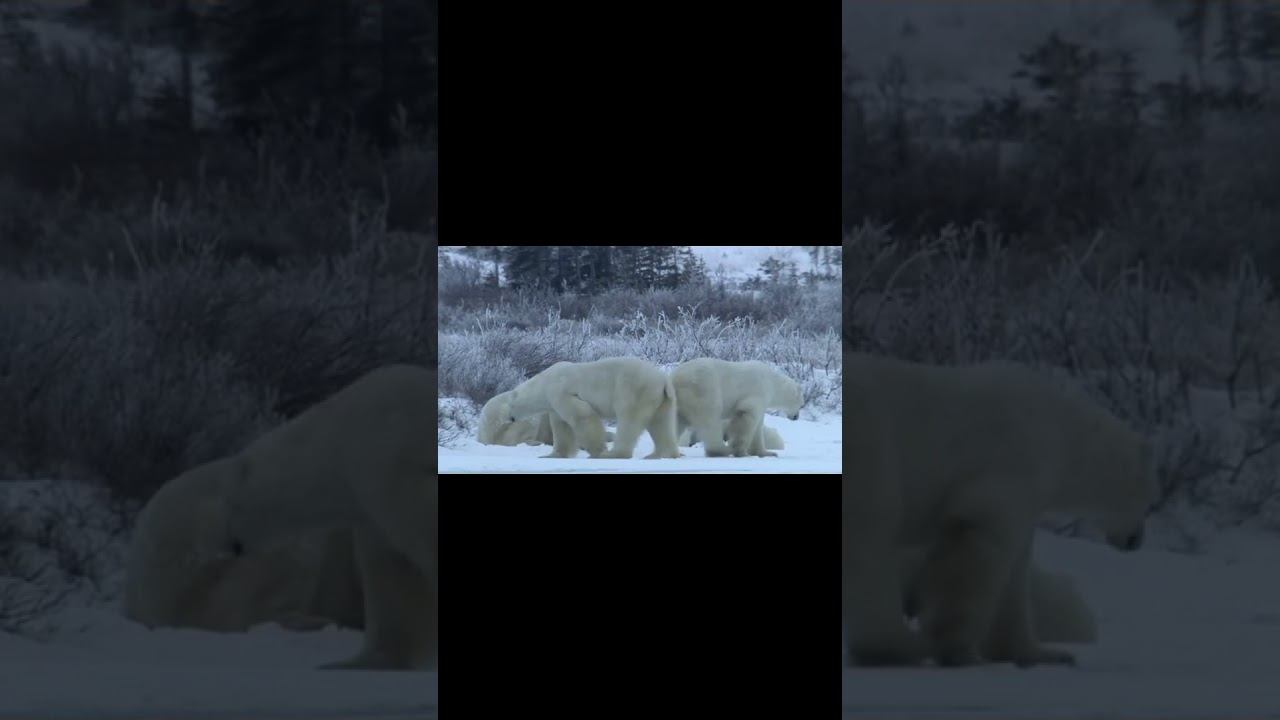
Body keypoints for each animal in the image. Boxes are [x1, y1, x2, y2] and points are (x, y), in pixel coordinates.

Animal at [506, 357, 680, 459]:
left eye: (508, 407)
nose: (509, 419)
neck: (544, 382)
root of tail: (662, 379)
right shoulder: (554, 404)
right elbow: (561, 426)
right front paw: (553, 455)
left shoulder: (560, 392)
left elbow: (582, 415)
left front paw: (597, 451)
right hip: (662, 398)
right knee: (661, 422)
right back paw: (661, 454)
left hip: (634, 388)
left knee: (629, 419)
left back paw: (613, 454)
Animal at [671, 358, 803, 457]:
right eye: (801, 405)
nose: (796, 417)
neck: (773, 381)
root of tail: (676, 377)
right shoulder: (757, 391)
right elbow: (746, 418)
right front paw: (741, 452)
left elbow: (758, 427)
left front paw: (767, 453)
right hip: (703, 390)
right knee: (710, 420)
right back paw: (722, 450)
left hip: (680, 401)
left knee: (676, 423)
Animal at [842, 352, 1156, 668]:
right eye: (1146, 502)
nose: (1136, 541)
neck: (1061, 433)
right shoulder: (1011, 465)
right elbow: (978, 548)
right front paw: (959, 649)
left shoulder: (1029, 496)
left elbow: (1015, 573)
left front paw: (1043, 653)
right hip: (870, 441)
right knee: (870, 531)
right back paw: (900, 644)